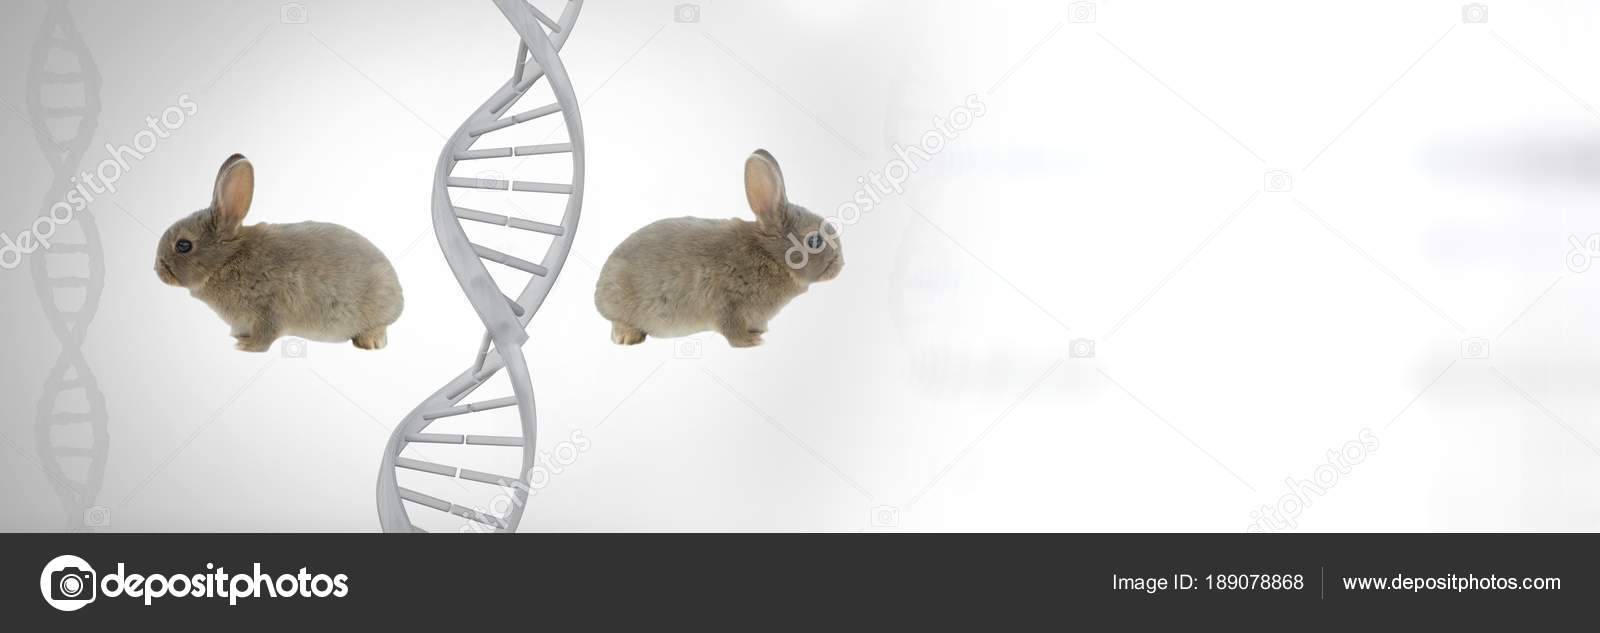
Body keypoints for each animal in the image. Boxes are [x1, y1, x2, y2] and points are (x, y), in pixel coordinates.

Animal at [154, 154, 403, 352]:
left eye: (183, 245)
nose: (157, 269)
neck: (226, 259)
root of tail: (399, 295)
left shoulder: (268, 309)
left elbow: (266, 336)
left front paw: (246, 346)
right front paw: (238, 338)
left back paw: (370, 342)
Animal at [595, 149, 843, 348]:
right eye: (815, 241)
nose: (840, 266)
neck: (770, 255)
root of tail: (599, 289)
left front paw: (760, 332)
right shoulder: (728, 303)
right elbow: (731, 330)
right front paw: (752, 341)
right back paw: (628, 337)